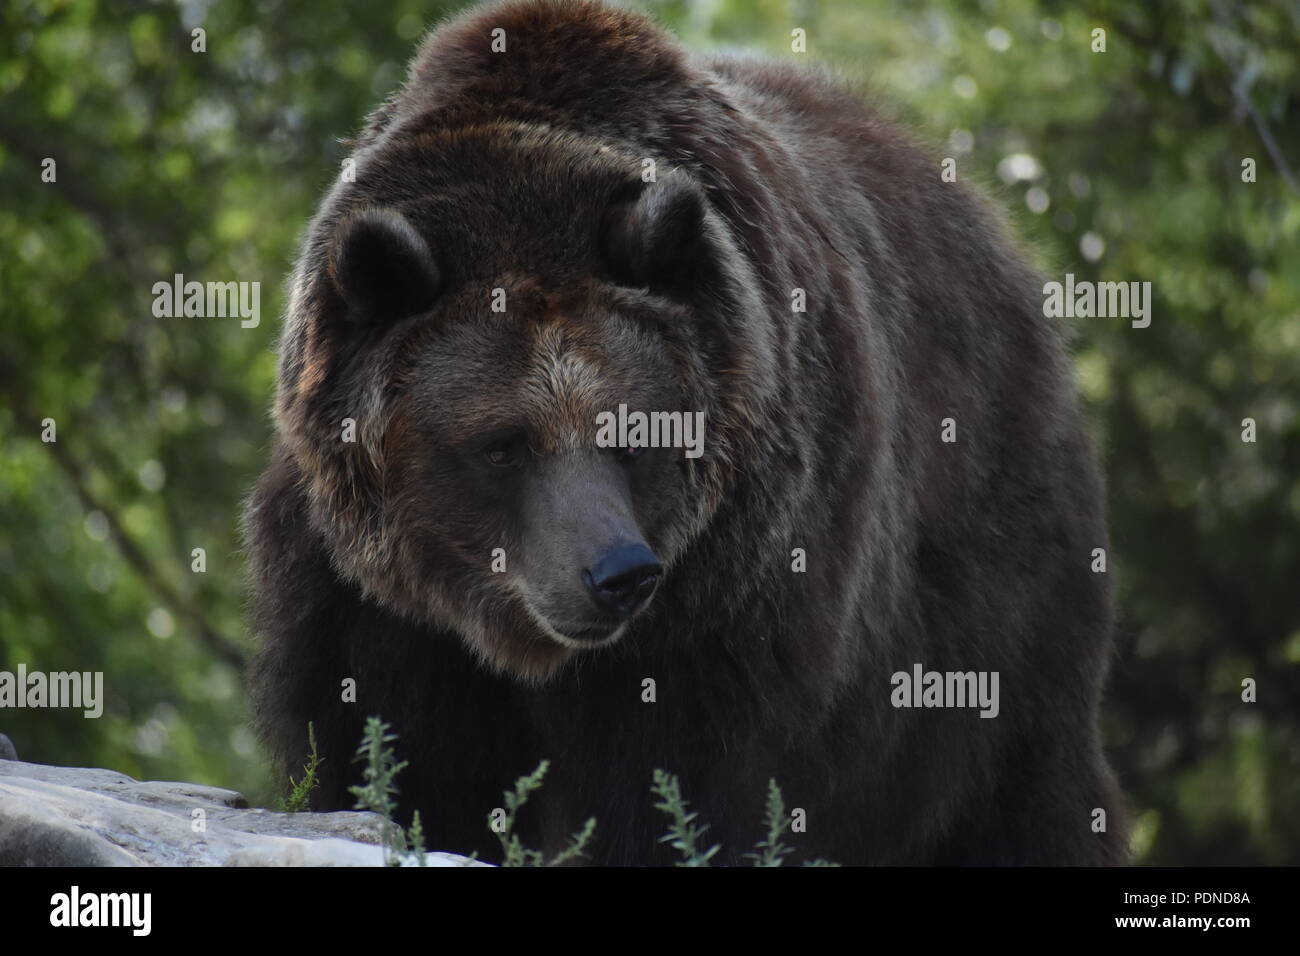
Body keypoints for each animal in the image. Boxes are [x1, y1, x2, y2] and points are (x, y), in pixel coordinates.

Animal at [245, 0, 1128, 865]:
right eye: (502, 443)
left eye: (634, 435)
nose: (618, 572)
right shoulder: (370, 602)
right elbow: (398, 753)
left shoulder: (730, 592)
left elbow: (678, 781)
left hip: (993, 580)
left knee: (1024, 782)